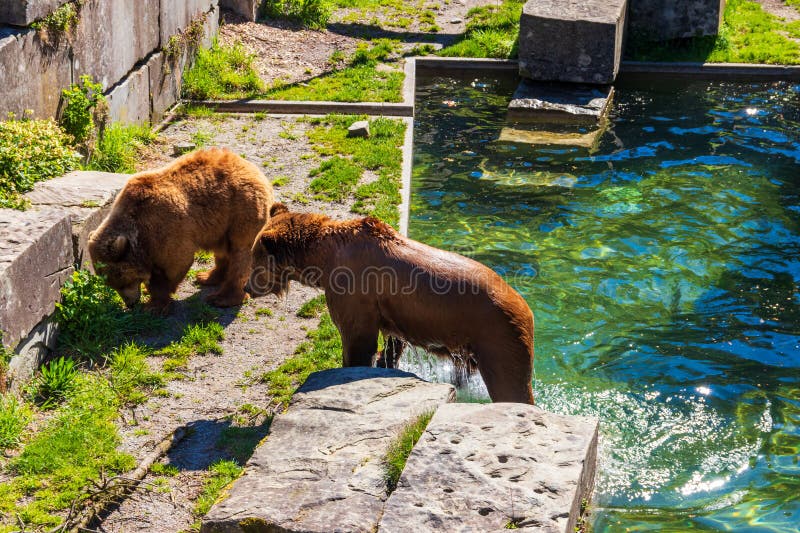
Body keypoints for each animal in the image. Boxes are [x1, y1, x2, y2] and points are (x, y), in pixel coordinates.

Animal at [88, 148, 273, 313]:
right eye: (111, 284)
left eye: (123, 281)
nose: (130, 303)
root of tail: (254, 169)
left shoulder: (166, 228)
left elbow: (177, 262)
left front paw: (154, 303)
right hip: (221, 223)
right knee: (222, 249)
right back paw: (207, 277)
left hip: (242, 209)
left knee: (240, 252)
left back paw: (222, 298)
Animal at [248, 204, 535, 404]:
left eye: (255, 261)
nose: (247, 288)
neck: (323, 259)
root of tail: (526, 308)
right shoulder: (393, 311)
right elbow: (391, 346)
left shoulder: (354, 290)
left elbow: (356, 341)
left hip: (497, 336)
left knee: (511, 384)